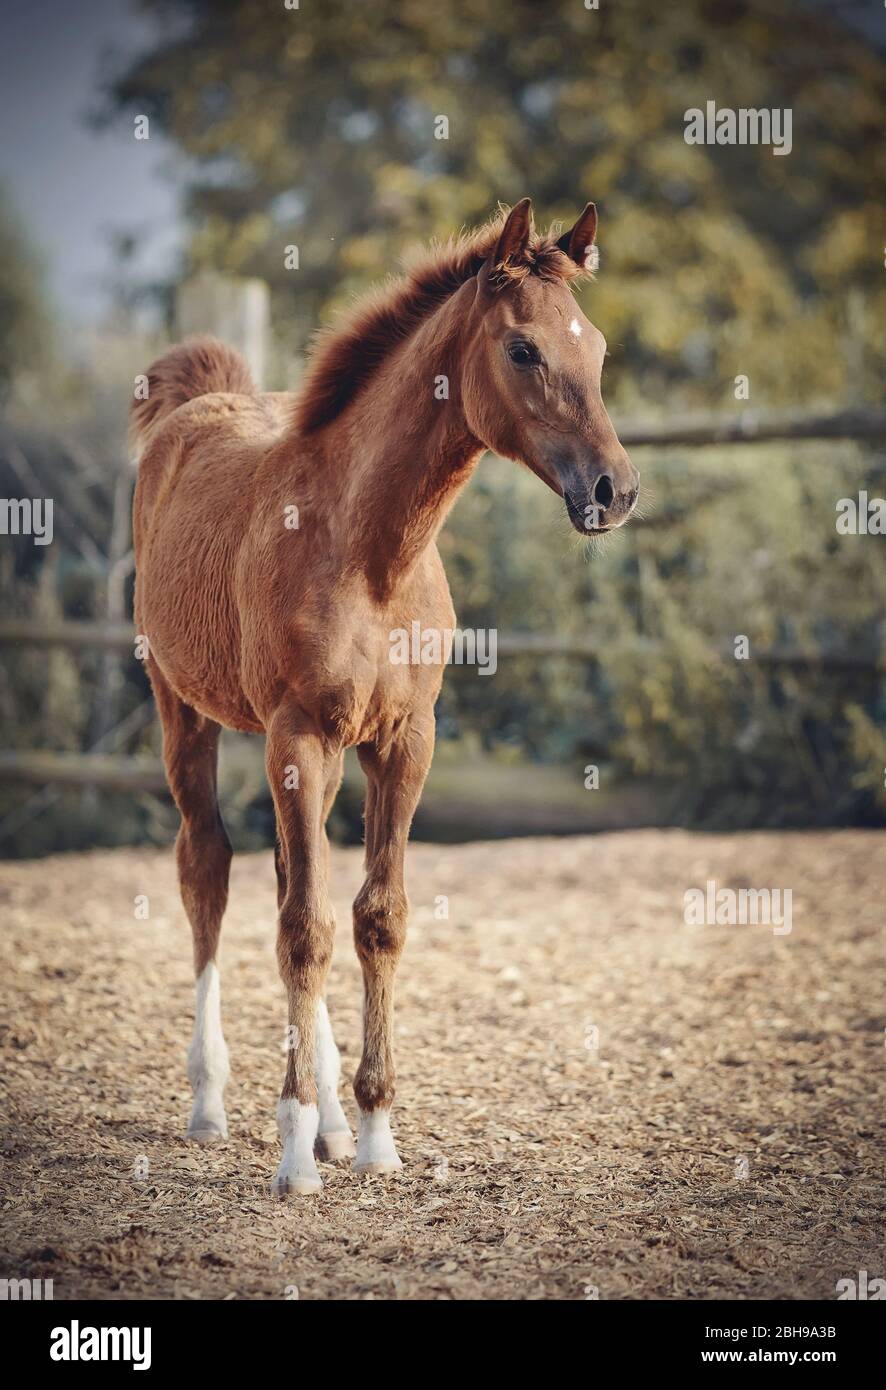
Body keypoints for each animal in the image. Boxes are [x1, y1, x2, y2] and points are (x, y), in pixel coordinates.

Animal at [131, 198, 639, 1196]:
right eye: (523, 349)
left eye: (596, 346)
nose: (614, 489)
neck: (369, 551)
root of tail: (191, 404)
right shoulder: (296, 734)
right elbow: (302, 930)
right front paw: (295, 1156)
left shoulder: (404, 739)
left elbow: (374, 918)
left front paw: (369, 1134)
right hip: (186, 709)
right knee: (207, 868)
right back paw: (210, 1104)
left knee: (291, 877)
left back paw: (328, 1118)